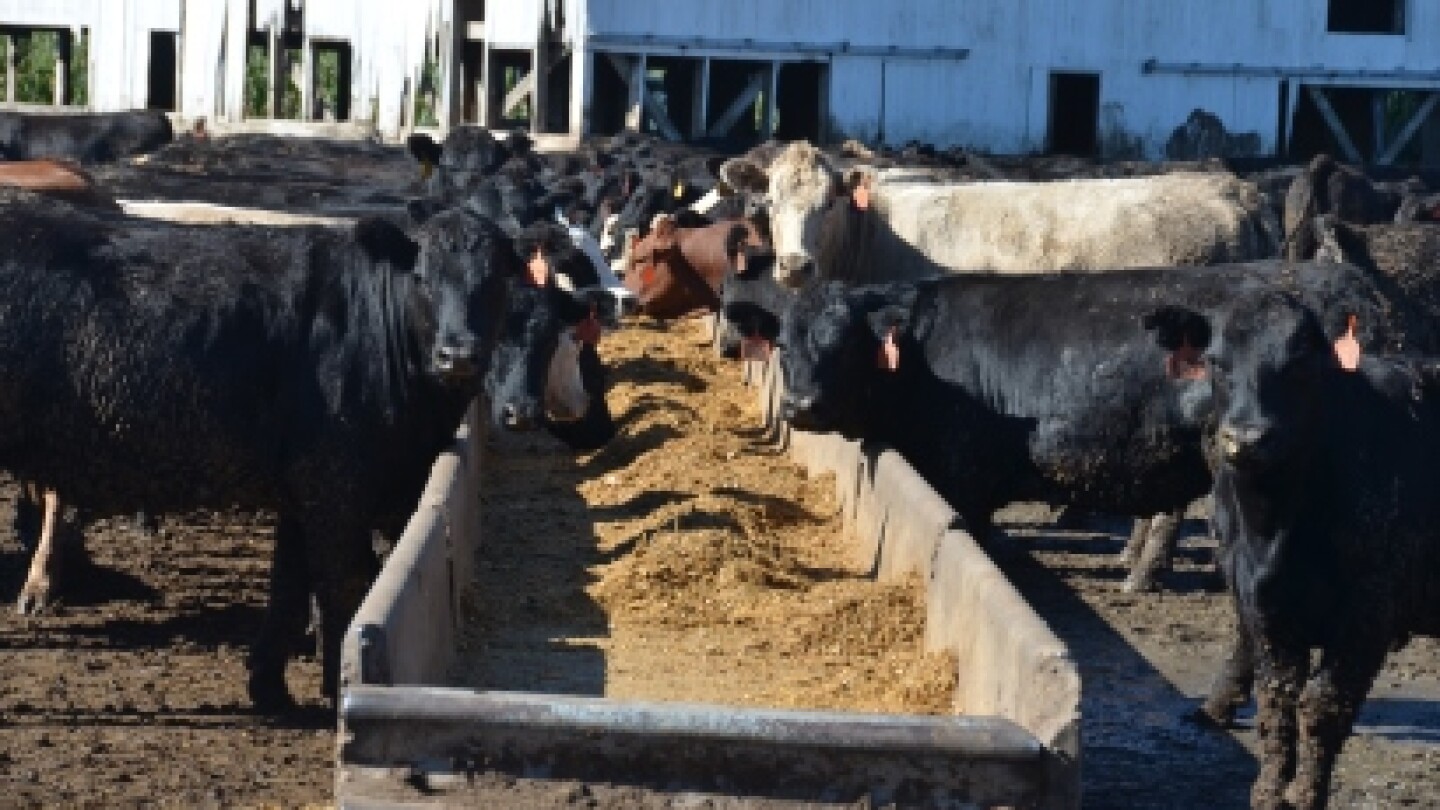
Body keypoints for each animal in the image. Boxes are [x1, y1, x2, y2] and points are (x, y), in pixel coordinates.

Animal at [0, 188, 616, 711]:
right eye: (422, 276)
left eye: (493, 281)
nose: (458, 354)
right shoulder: (335, 489)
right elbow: (345, 587)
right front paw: (334, 690)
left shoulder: (305, 491)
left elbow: (291, 588)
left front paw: (270, 687)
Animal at [1171, 290, 1440, 810]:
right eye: (1215, 362)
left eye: (1300, 363)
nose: (1247, 438)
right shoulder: (1264, 604)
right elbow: (1279, 700)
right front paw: (1270, 790)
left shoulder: (1370, 610)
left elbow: (1322, 704)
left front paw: (1303, 795)